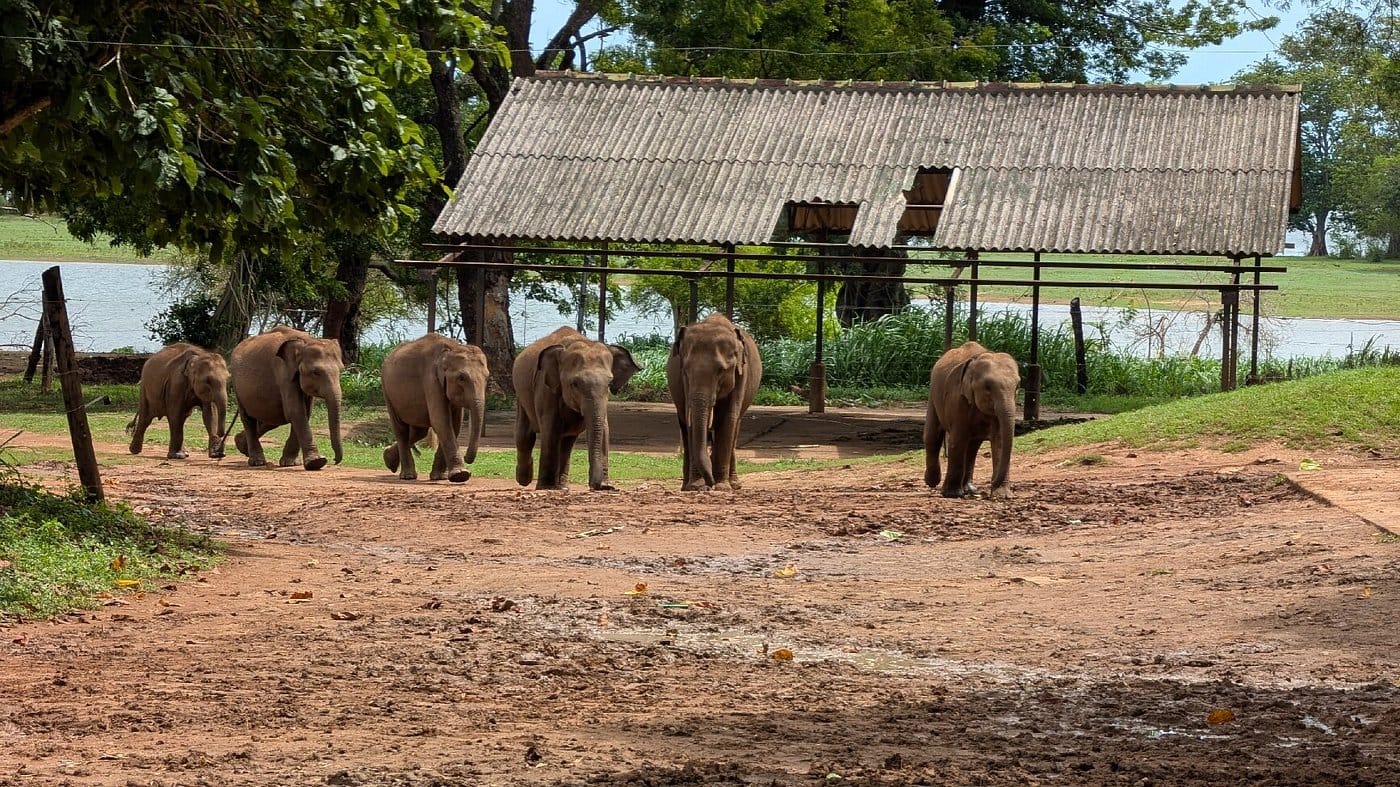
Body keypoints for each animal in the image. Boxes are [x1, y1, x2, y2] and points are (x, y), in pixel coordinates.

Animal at [229, 326, 344, 470]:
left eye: (341, 371)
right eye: (316, 372)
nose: (335, 460)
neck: (306, 342)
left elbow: (304, 412)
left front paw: (290, 463)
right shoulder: (282, 371)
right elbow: (296, 411)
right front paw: (316, 462)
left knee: (274, 418)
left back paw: (240, 444)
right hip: (237, 386)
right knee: (249, 418)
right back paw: (256, 461)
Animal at [380, 334, 489, 482]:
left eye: (487, 378)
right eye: (461, 378)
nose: (467, 457)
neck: (452, 348)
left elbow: (454, 424)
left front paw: (440, 477)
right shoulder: (431, 380)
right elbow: (441, 421)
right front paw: (461, 475)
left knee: (419, 432)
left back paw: (388, 459)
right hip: (387, 392)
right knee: (401, 430)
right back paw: (407, 476)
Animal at [513, 326, 640, 491]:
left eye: (609, 384)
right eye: (575, 384)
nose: (598, 486)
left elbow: (604, 429)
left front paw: (606, 485)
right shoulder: (545, 387)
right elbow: (550, 428)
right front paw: (545, 488)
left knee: (566, 442)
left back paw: (561, 487)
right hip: (520, 394)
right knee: (525, 436)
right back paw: (525, 480)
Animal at [666, 313, 762, 491]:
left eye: (721, 371)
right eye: (686, 370)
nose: (710, 484)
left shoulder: (741, 374)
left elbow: (729, 419)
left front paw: (722, 487)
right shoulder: (684, 382)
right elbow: (691, 421)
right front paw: (696, 487)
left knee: (735, 428)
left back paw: (734, 484)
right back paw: (685, 486)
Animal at [924, 341, 1020, 499]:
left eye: (1017, 386)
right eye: (987, 386)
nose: (991, 481)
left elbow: (999, 440)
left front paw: (1002, 496)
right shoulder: (957, 398)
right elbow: (958, 438)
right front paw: (951, 494)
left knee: (973, 446)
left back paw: (969, 489)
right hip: (933, 393)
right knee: (933, 435)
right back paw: (932, 481)